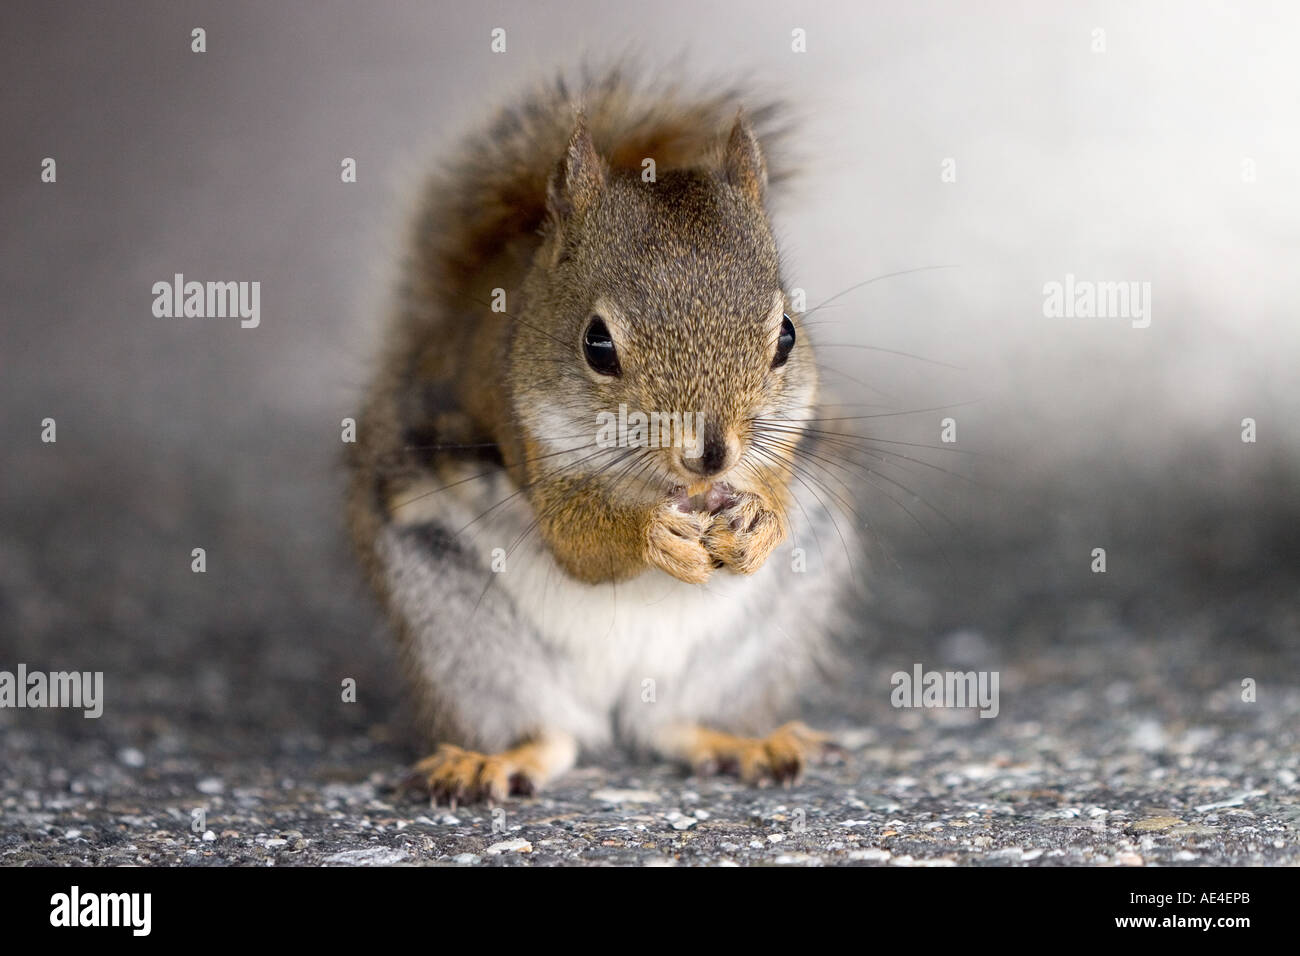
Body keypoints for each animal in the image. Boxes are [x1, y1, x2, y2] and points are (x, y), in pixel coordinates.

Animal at [347, 69, 855, 805]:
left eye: (787, 334)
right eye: (597, 344)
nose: (709, 455)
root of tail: (616, 696)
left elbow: (773, 496)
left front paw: (759, 523)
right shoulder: (530, 441)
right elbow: (577, 544)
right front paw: (651, 534)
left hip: (753, 644)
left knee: (675, 725)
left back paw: (740, 742)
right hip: (459, 631)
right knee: (548, 736)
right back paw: (493, 760)